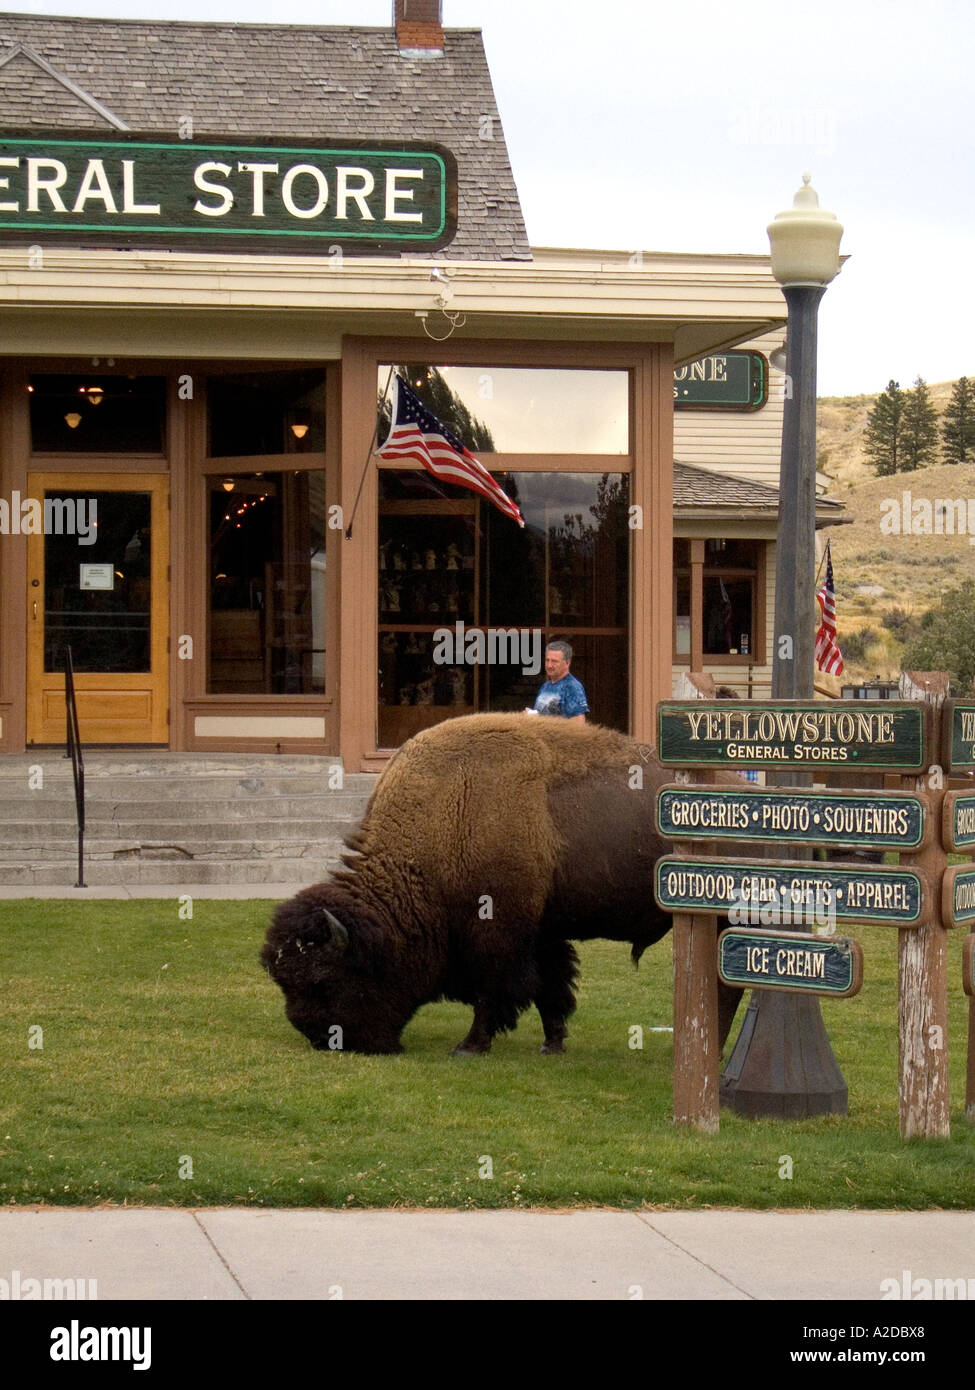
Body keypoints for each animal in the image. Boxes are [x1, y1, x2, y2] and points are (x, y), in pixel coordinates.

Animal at [261, 712, 742, 1055]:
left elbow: (494, 990)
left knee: (725, 992)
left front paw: (470, 1046)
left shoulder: (495, 933)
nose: (319, 1037)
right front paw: (552, 1043)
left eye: (323, 981)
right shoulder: (543, 931)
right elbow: (551, 987)